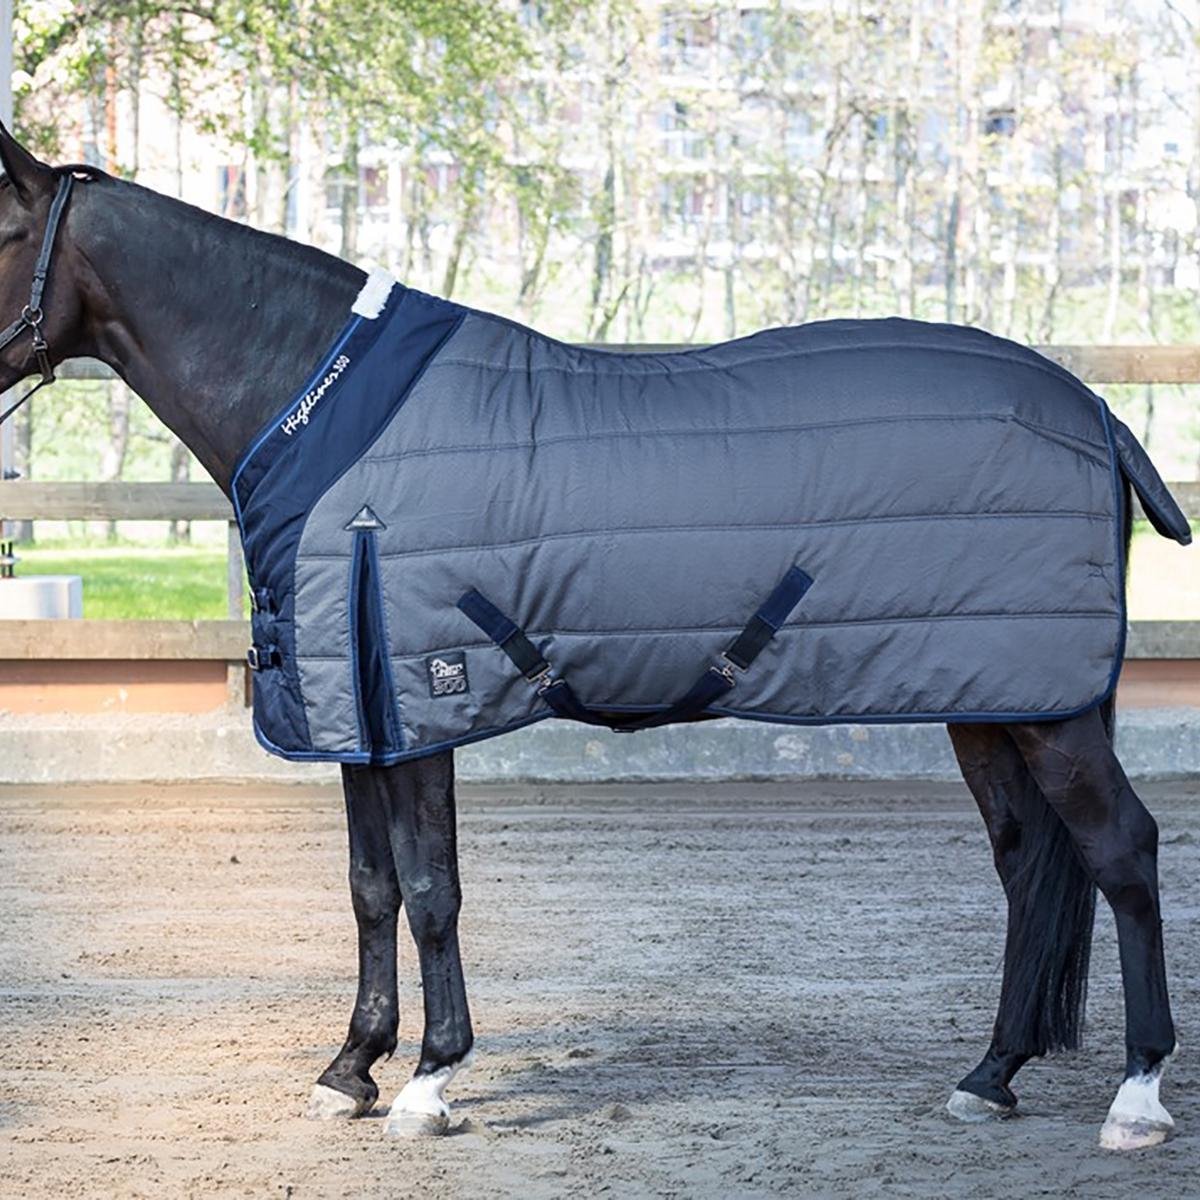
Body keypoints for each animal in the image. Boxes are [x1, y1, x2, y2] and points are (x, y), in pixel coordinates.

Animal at [0, 125, 1188, 1152]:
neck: (326, 422)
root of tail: (1097, 412)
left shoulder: (422, 700)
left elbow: (430, 888)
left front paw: (430, 1080)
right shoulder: (362, 719)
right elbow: (371, 887)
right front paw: (350, 1069)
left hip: (1050, 712)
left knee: (1122, 850)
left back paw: (1136, 1096)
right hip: (994, 700)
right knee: (1030, 862)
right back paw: (990, 1075)